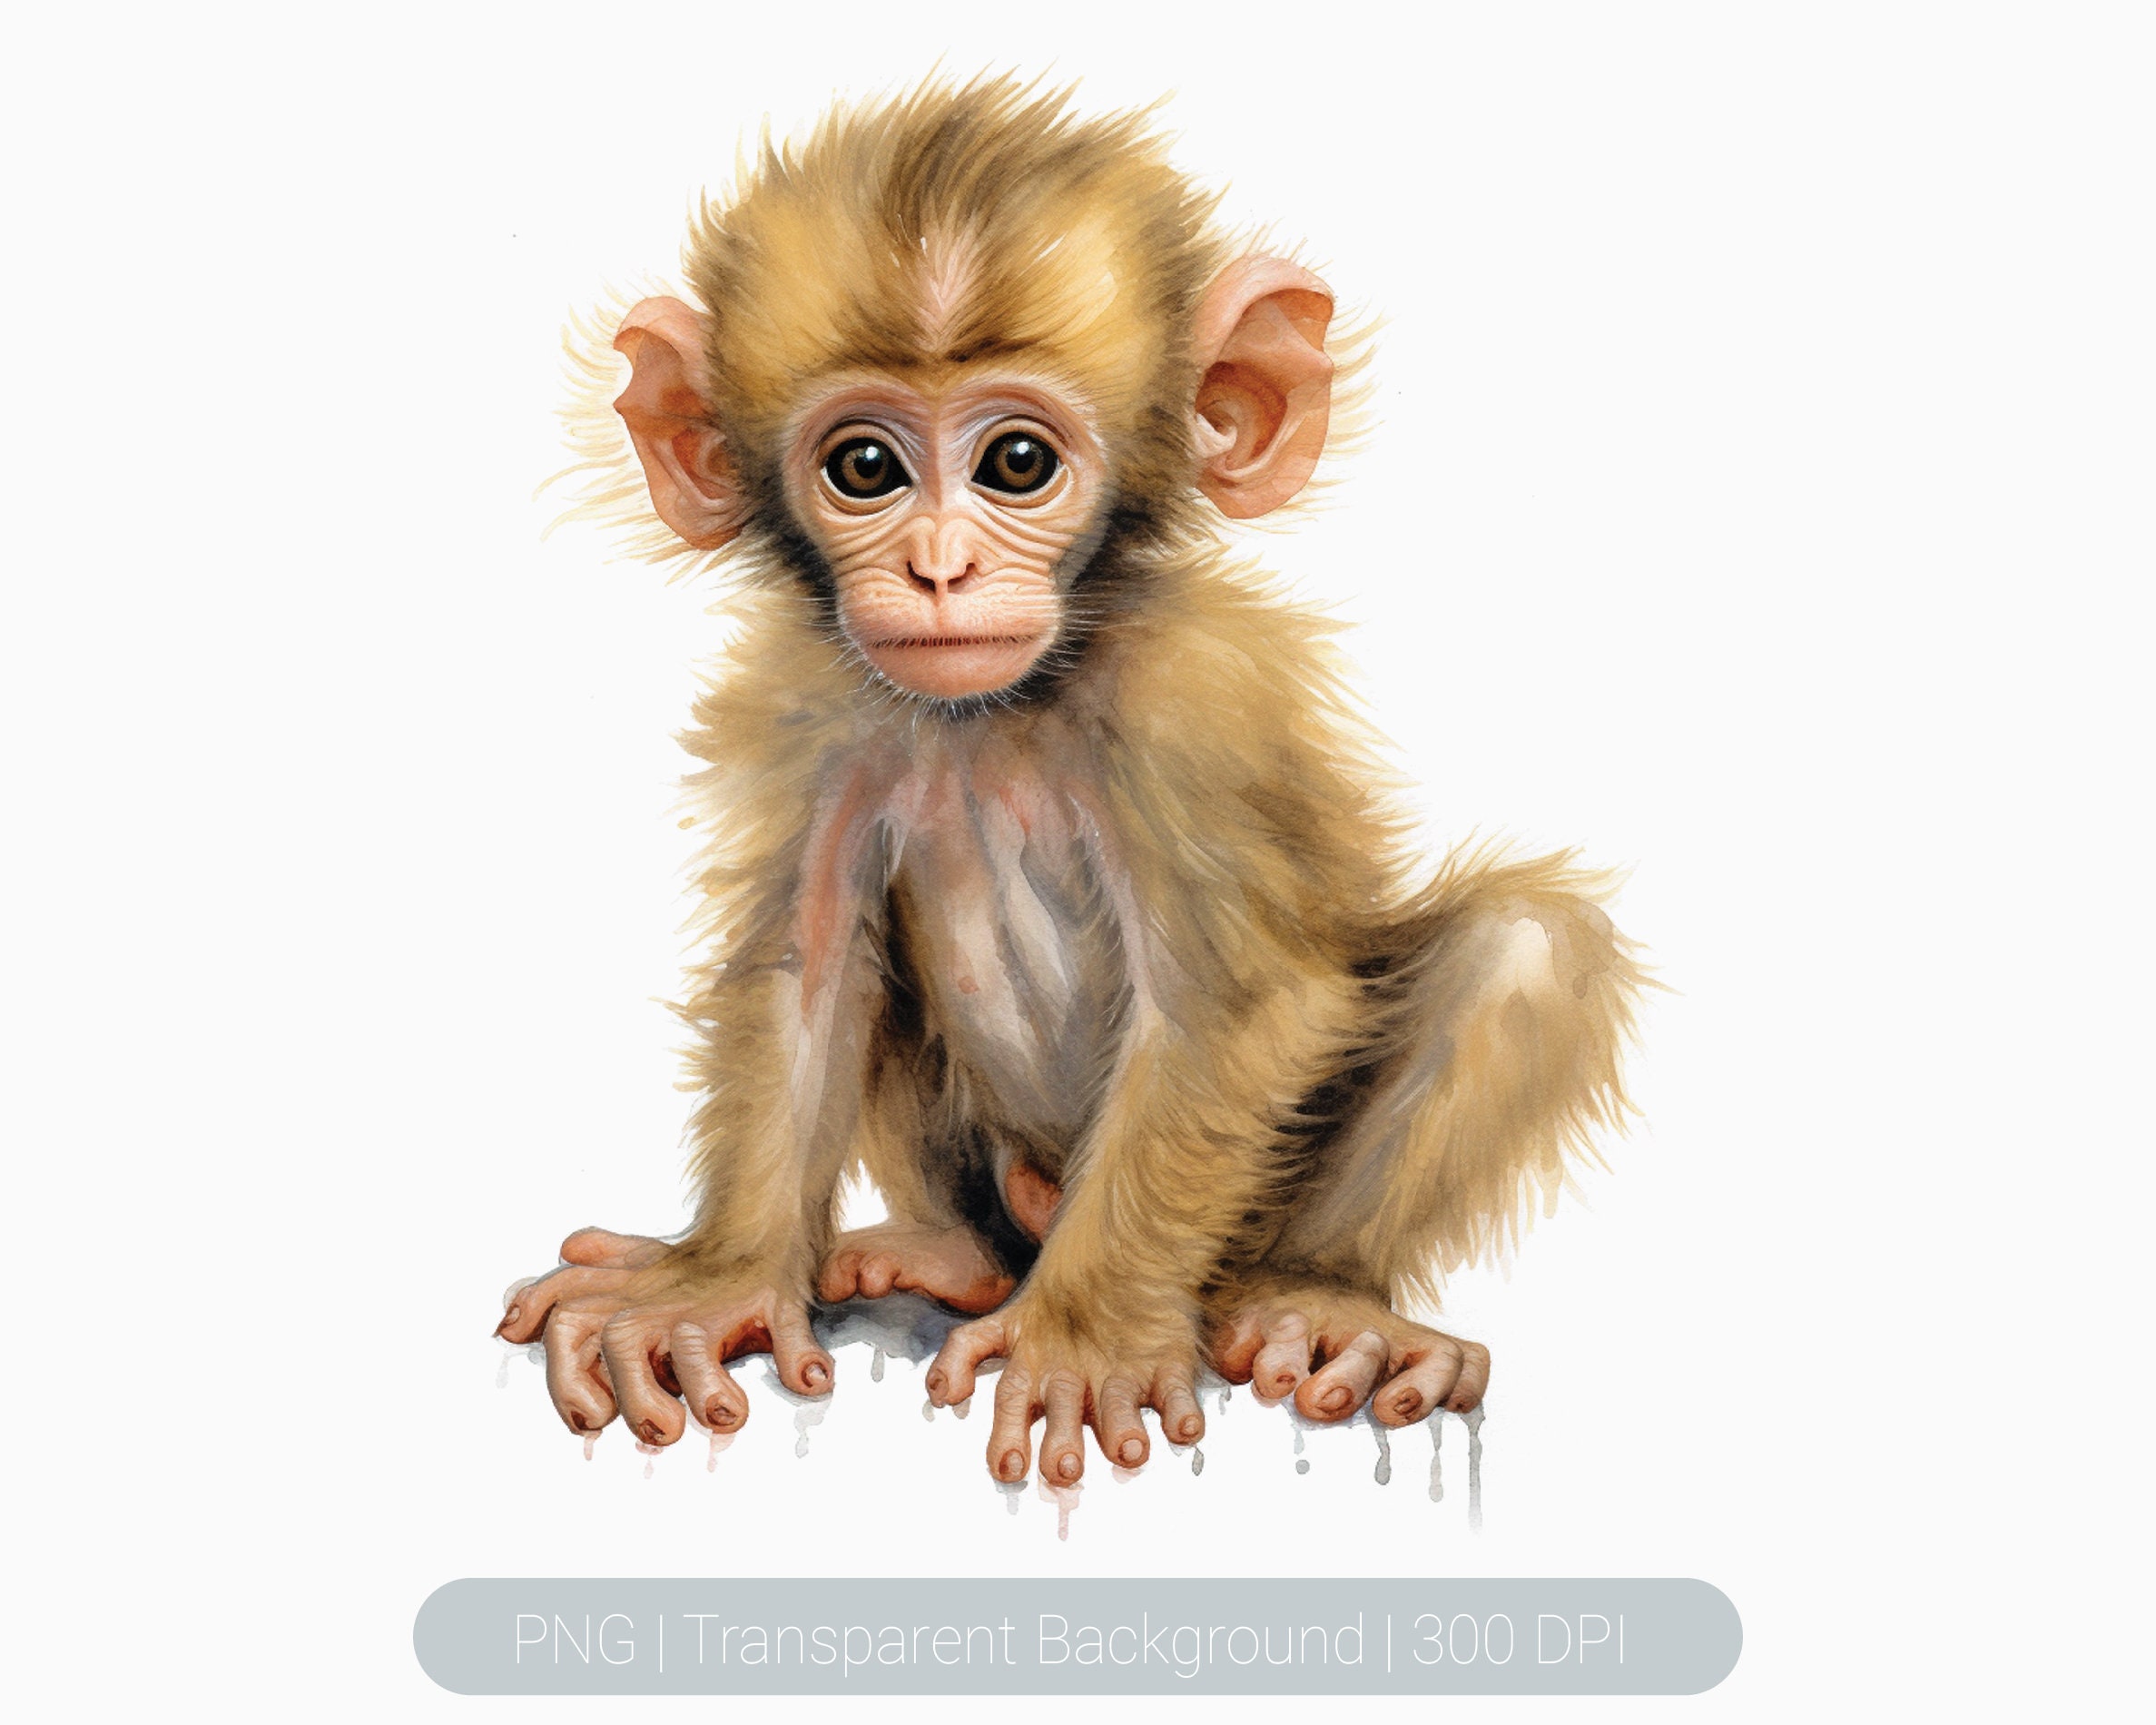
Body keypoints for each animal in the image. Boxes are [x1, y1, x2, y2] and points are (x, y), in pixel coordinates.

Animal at [495, 76, 1643, 1489]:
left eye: (1016, 465)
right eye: (864, 468)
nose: (938, 568)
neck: (1003, 713)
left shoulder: (1190, 710)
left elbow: (1236, 1004)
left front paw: (1087, 1338)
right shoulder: (813, 708)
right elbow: (806, 961)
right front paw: (713, 1282)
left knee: (1522, 945)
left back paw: (1324, 1299)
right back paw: (956, 1254)